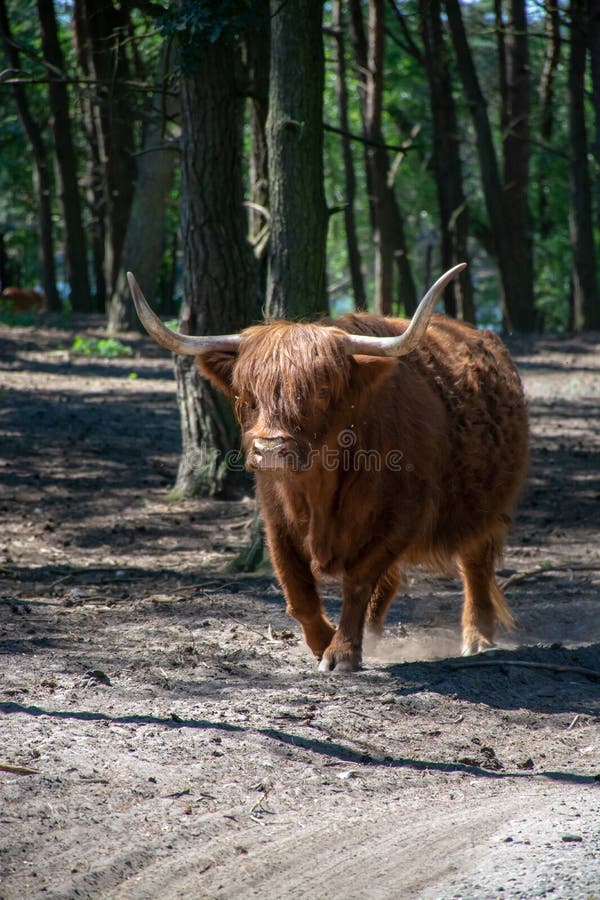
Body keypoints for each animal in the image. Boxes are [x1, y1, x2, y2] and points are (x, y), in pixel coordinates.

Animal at [127, 266, 529, 672]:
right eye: (248, 394)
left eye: (320, 390)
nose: (270, 449)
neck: (319, 486)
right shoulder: (276, 518)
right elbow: (297, 589)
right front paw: (323, 642)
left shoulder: (402, 516)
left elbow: (358, 581)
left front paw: (342, 653)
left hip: (488, 503)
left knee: (476, 565)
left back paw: (478, 638)